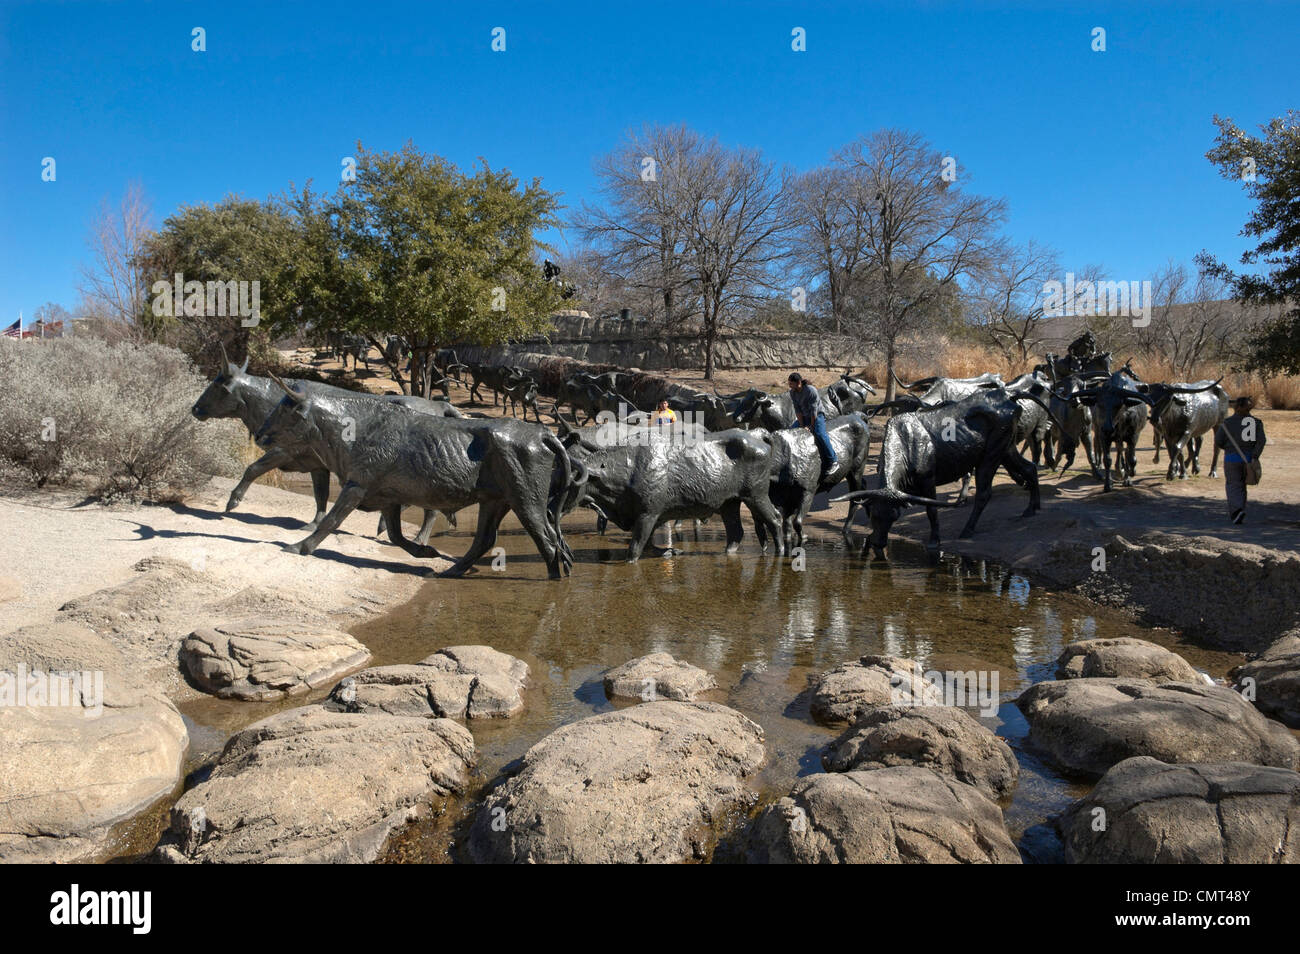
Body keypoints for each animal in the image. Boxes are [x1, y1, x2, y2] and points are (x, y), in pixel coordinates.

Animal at [255, 376, 579, 578]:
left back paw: (553, 581)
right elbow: (395, 535)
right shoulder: (388, 499)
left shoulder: (356, 486)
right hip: (495, 501)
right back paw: (451, 570)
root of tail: (541, 432)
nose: (259, 435)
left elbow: (332, 520)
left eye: (286, 409)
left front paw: (300, 546)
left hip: (527, 501)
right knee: (485, 539)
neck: (356, 425)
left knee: (548, 542)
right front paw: (426, 551)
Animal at [559, 426, 785, 562]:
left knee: (775, 519)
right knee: (736, 532)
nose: (554, 509)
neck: (630, 466)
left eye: (571, 482)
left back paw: (781, 552)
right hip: (730, 503)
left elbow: (635, 548)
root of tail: (755, 434)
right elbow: (648, 546)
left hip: (756, 496)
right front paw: (670, 551)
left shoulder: (648, 515)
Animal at [834, 387, 1057, 557]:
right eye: (874, 515)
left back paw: (967, 530)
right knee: (1029, 469)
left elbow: (932, 511)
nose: (880, 543)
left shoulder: (928, 481)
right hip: (1007, 449)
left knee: (984, 493)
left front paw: (935, 540)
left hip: (991, 456)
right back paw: (1032, 508)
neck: (906, 443)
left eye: (895, 516)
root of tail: (1007, 394)